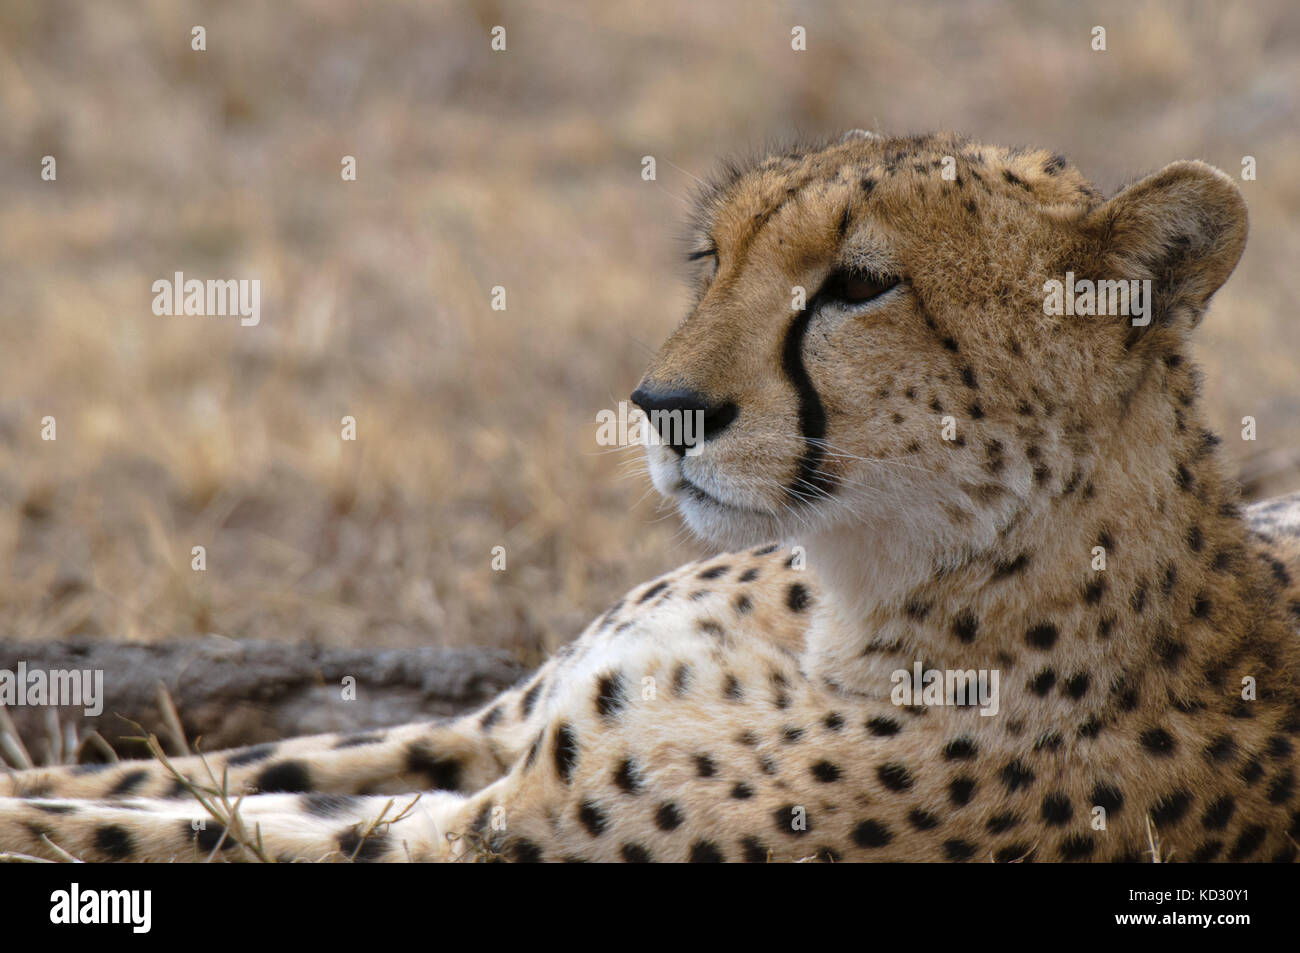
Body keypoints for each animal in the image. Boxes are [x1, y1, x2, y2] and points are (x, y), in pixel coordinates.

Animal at [3, 130, 1299, 863]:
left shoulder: (492, 832)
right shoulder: (500, 733)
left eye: (858, 285)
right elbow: (188, 774)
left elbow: (170, 823)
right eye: (710, 258)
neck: (843, 595)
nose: (663, 405)